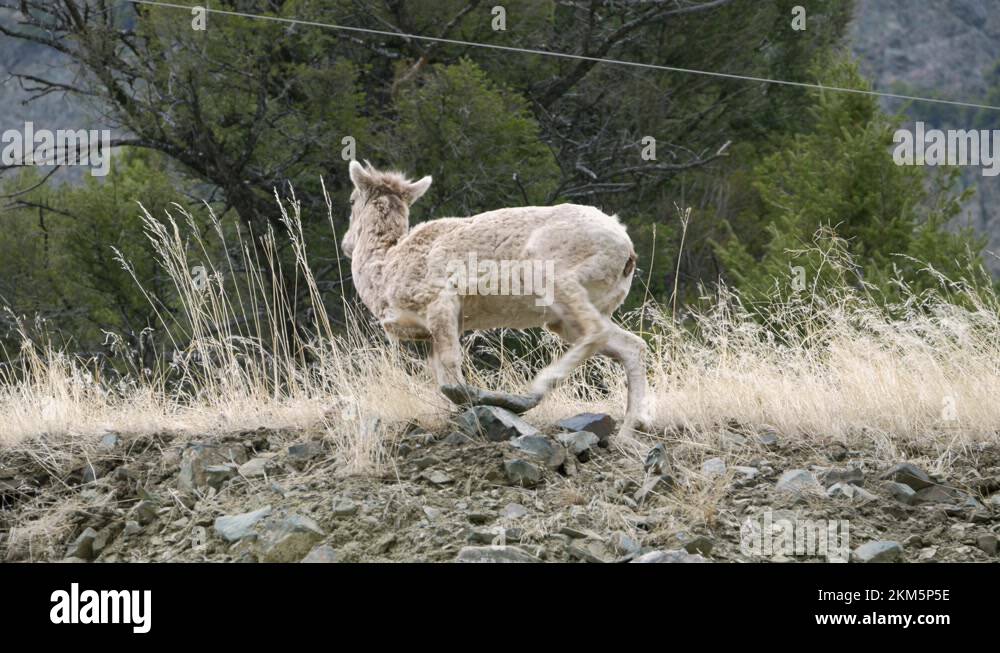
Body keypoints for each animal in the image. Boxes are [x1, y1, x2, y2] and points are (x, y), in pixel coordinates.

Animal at [341, 160, 650, 437]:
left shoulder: (442, 303)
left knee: (597, 333)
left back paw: (532, 392)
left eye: (352, 200)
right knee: (632, 345)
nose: (345, 244)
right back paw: (628, 432)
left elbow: (451, 381)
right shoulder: (432, 333)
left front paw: (490, 398)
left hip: (553, 279)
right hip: (569, 318)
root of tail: (628, 251)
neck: (384, 271)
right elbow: (441, 378)